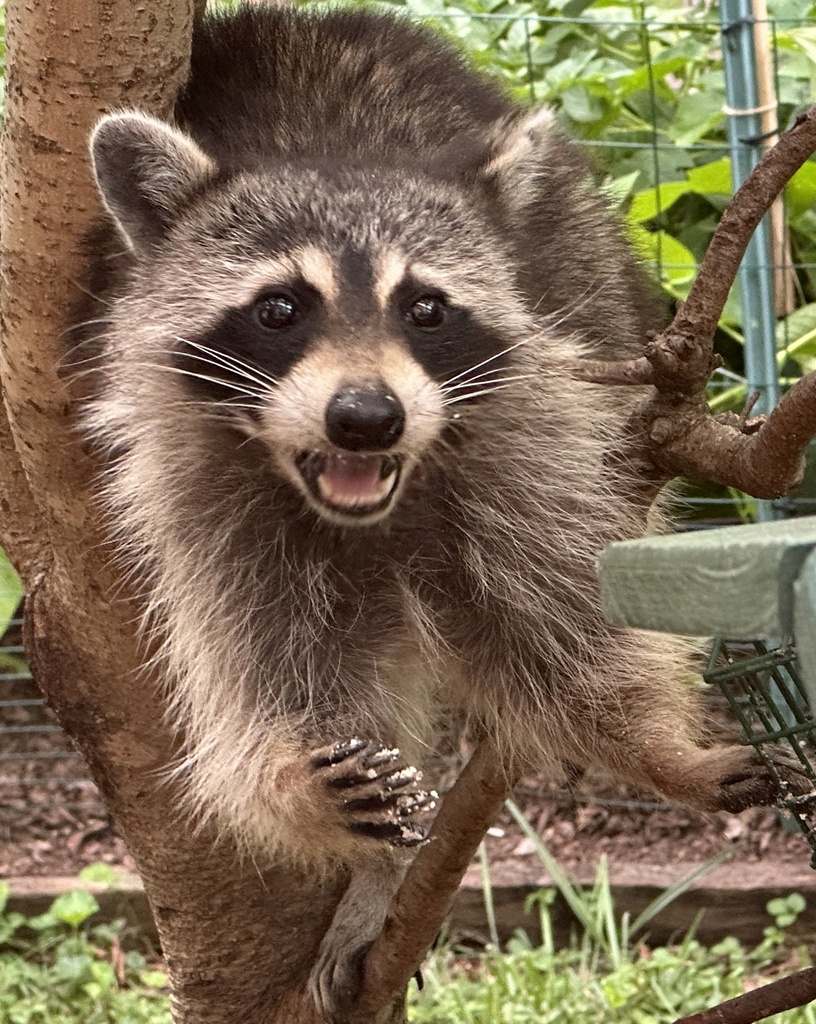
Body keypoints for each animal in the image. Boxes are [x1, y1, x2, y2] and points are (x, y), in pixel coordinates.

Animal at [72, 4, 806, 1020]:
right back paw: (374, 881)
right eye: (279, 308)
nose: (365, 417)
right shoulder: (197, 501)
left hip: (588, 282)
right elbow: (254, 691)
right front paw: (297, 789)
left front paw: (661, 751)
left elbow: (570, 634)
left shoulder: (526, 449)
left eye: (425, 308)